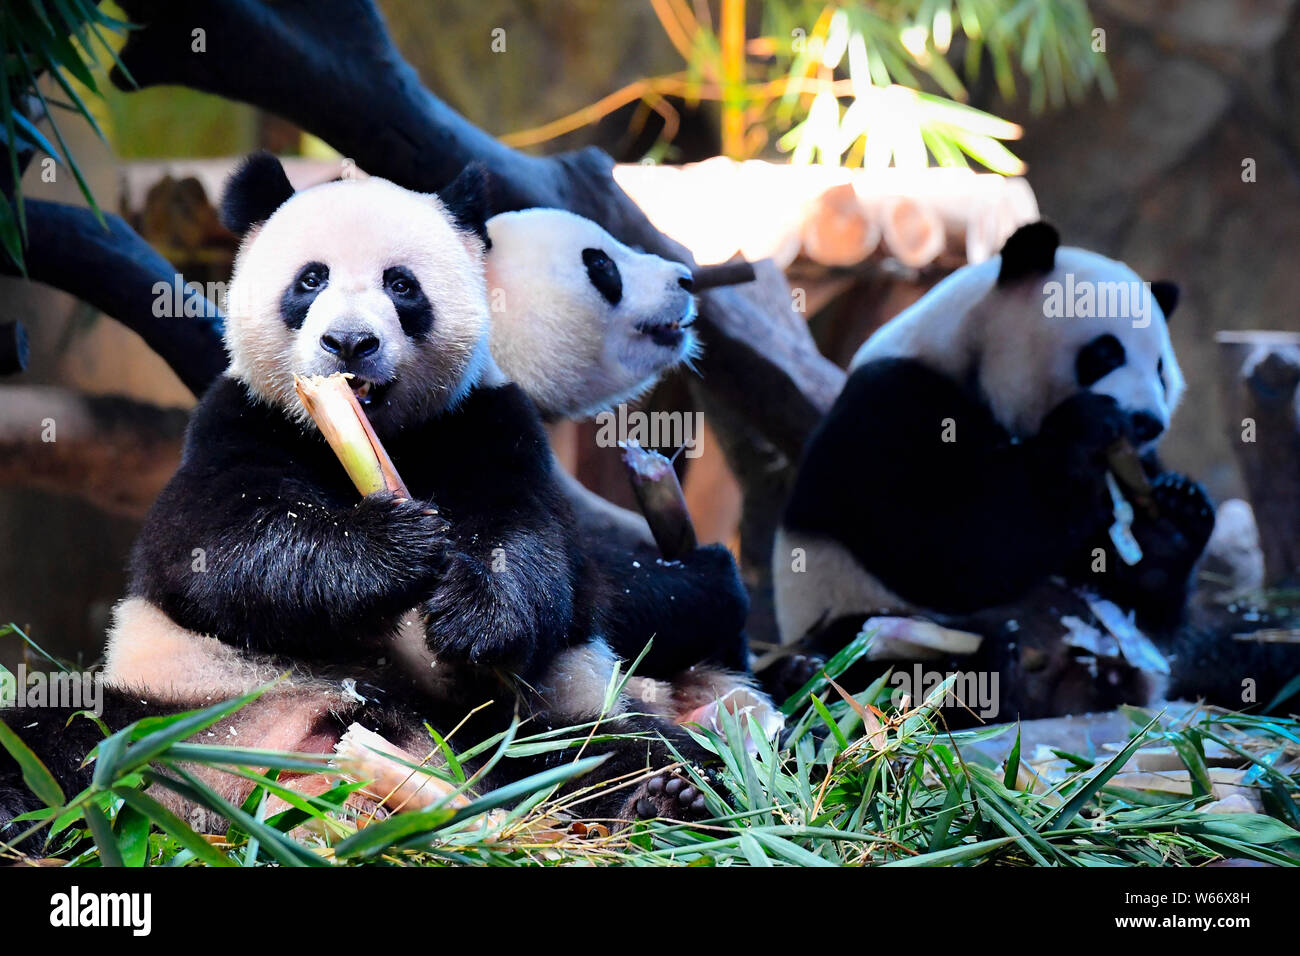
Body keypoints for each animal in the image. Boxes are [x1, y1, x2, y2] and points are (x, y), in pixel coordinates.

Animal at [0, 156, 725, 846]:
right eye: (310, 280)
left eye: (401, 285)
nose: (349, 342)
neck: (372, 434)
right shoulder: (240, 418)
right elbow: (211, 546)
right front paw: (393, 547)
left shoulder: (486, 422)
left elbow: (541, 549)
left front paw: (475, 611)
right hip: (167, 708)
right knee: (52, 738)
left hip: (508, 732)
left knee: (619, 752)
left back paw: (666, 800)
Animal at [773, 221, 1217, 717]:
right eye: (1106, 353)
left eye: (1160, 369)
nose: (1147, 421)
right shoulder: (889, 404)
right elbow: (944, 544)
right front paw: (1086, 431)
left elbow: (1138, 593)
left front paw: (1175, 514)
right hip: (852, 605)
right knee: (886, 651)